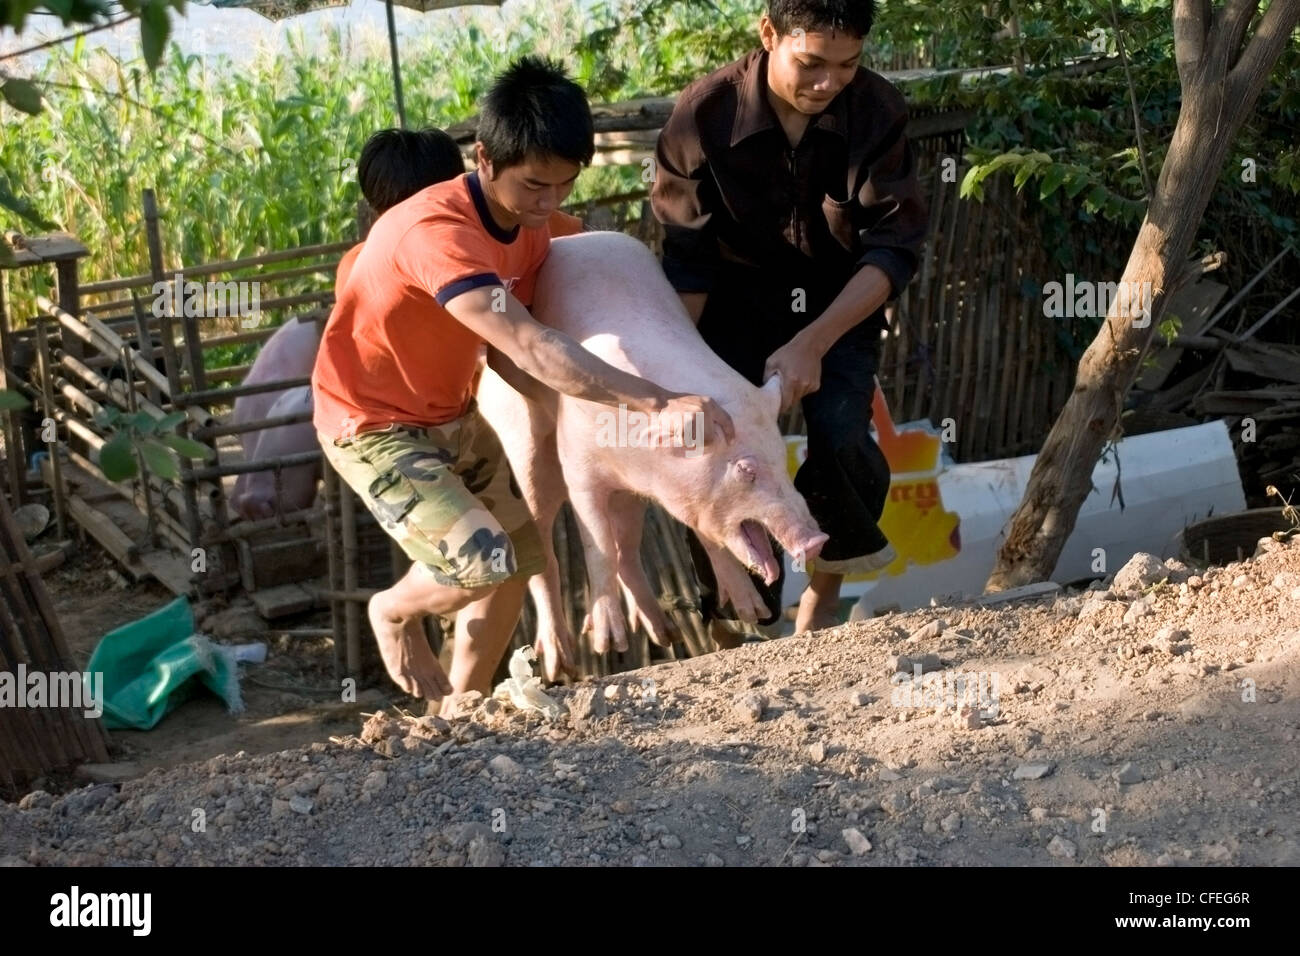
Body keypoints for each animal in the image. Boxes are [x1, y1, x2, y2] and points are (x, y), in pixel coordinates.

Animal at [477, 231, 828, 677]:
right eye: (745, 469)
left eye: (782, 460)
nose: (817, 539)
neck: (643, 462)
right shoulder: (579, 465)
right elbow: (596, 541)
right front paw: (608, 643)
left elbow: (705, 535)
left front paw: (750, 611)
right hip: (521, 439)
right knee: (544, 542)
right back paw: (561, 667)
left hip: (628, 498)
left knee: (627, 545)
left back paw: (664, 635)